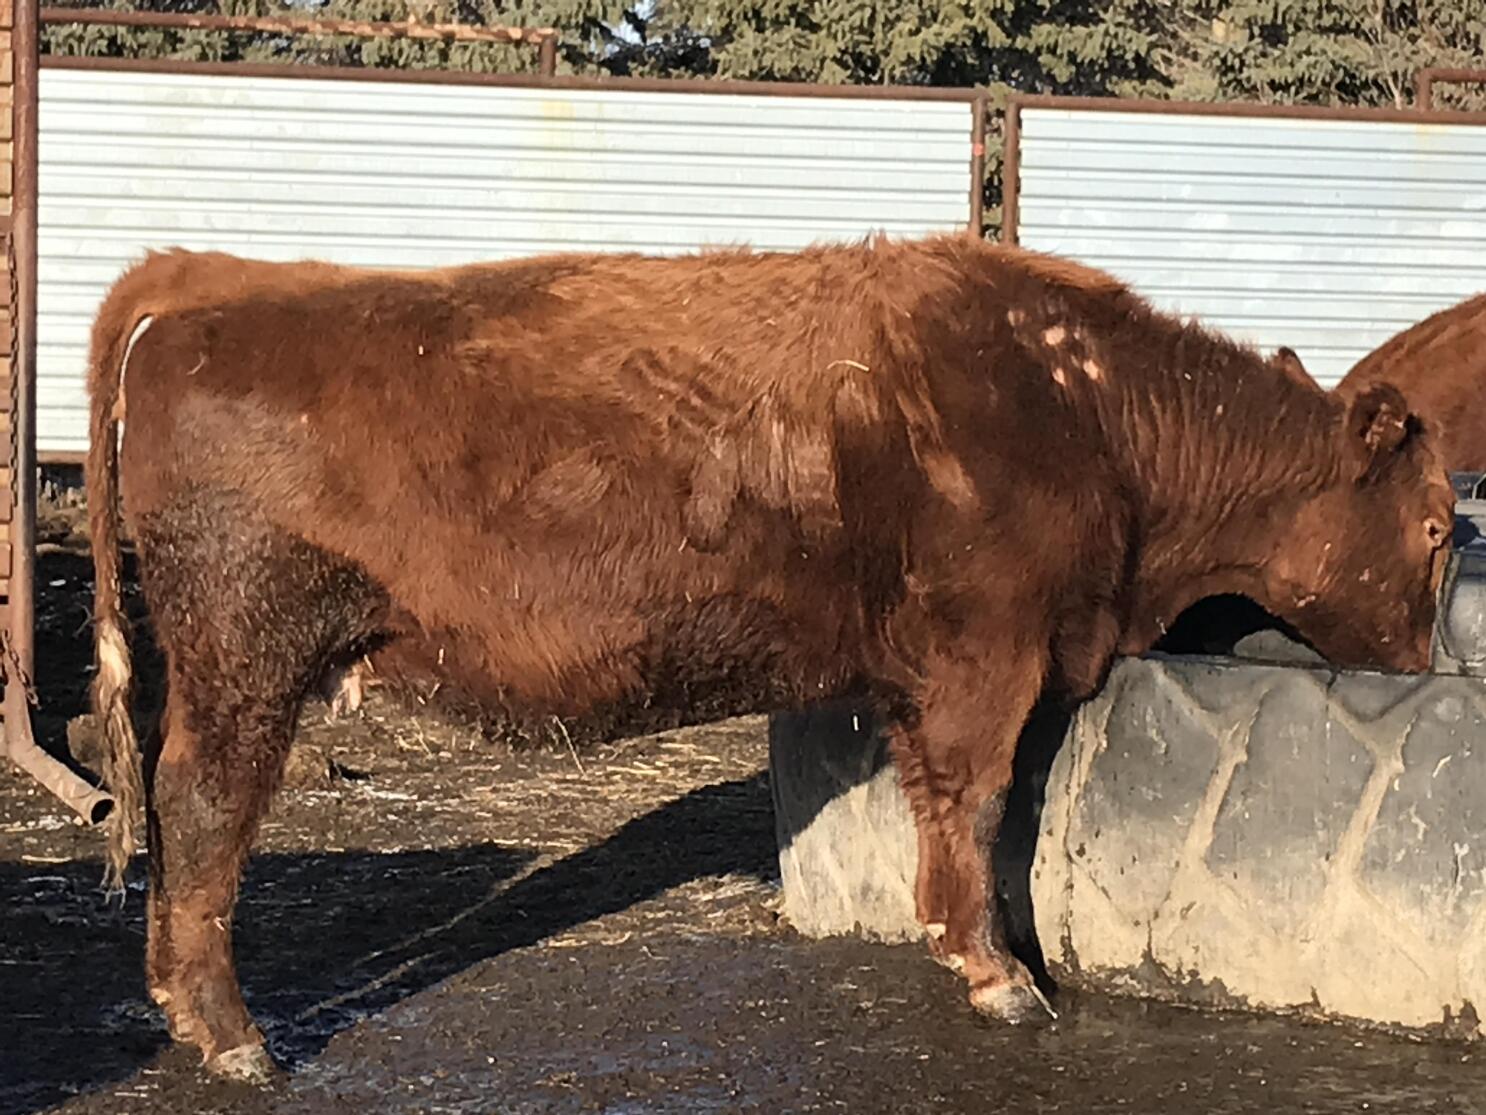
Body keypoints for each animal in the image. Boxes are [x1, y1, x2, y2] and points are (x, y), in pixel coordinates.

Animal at [84, 235, 1454, 1082]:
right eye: (1440, 524)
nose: (1423, 662)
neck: (1084, 406)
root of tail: (218, 283)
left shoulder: (929, 677)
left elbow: (945, 807)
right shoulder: (986, 656)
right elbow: (976, 801)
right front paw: (1000, 975)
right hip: (244, 657)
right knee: (201, 812)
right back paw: (232, 1034)